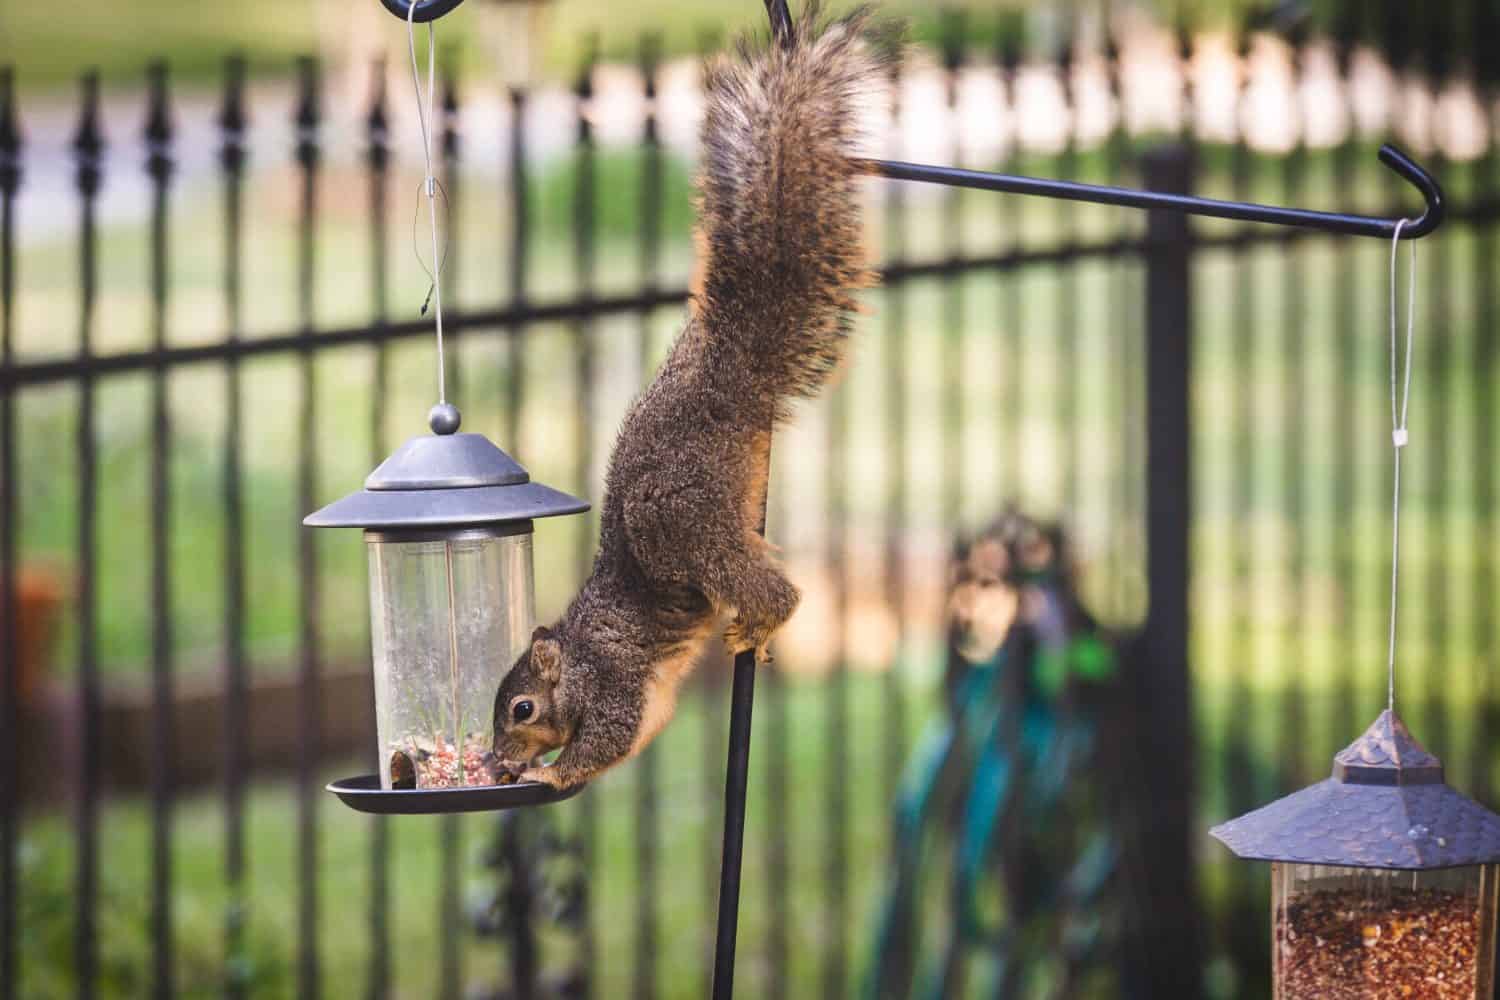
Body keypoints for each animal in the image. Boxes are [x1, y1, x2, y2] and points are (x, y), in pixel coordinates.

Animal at [490, 5, 893, 790]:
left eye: (522, 709)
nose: (494, 760)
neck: (577, 658)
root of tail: (724, 382)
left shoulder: (613, 689)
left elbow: (606, 740)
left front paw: (548, 773)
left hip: (678, 516)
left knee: (776, 589)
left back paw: (765, 618)